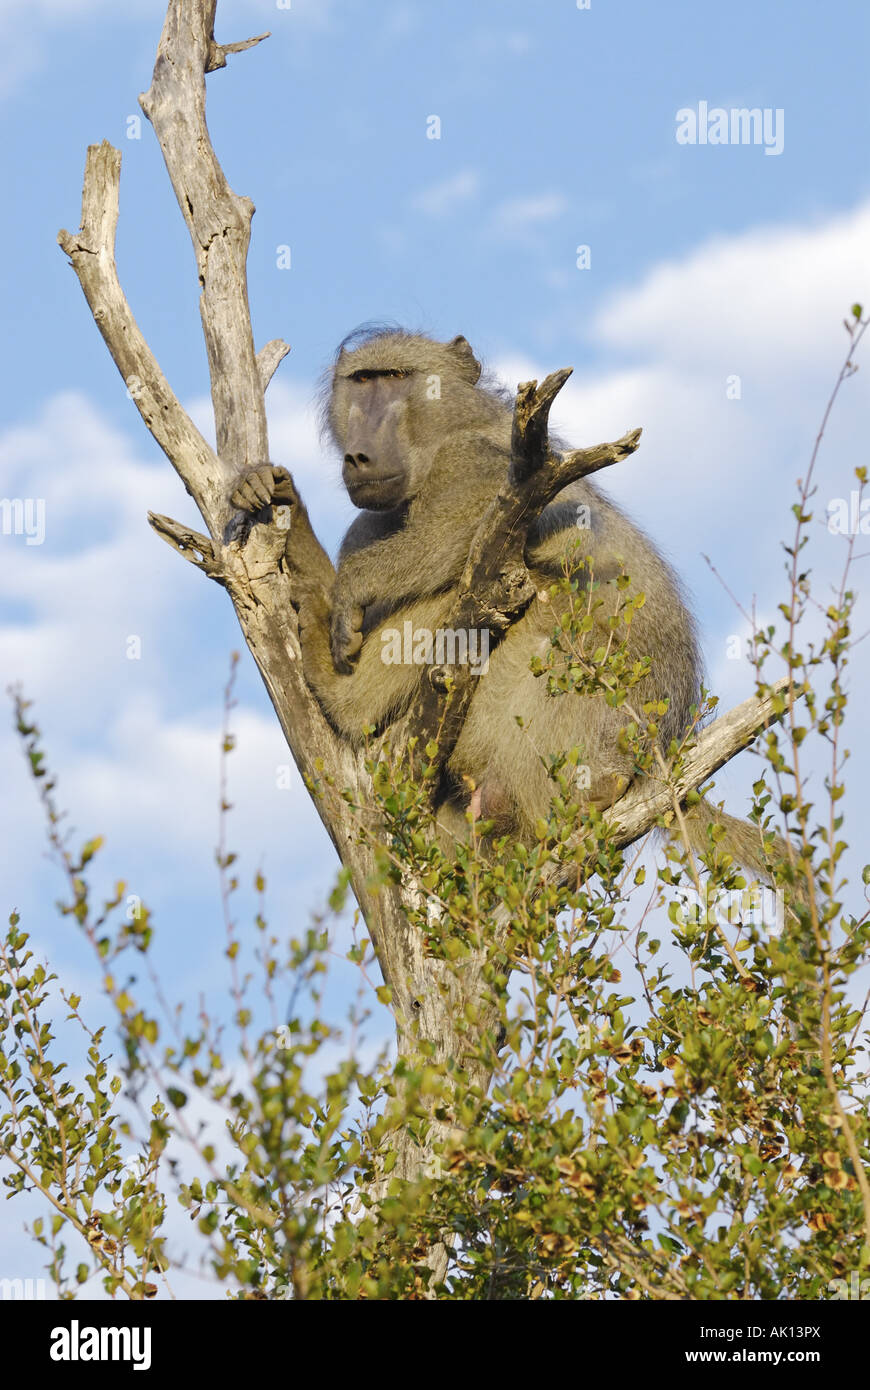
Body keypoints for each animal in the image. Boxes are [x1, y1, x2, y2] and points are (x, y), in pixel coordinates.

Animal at [231, 327, 793, 884]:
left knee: (456, 585)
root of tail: (647, 766)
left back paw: (339, 688)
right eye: (361, 381)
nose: (359, 457)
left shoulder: (475, 464)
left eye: (394, 377)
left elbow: (462, 529)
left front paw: (345, 591)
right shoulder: (372, 517)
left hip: (557, 733)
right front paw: (275, 500)